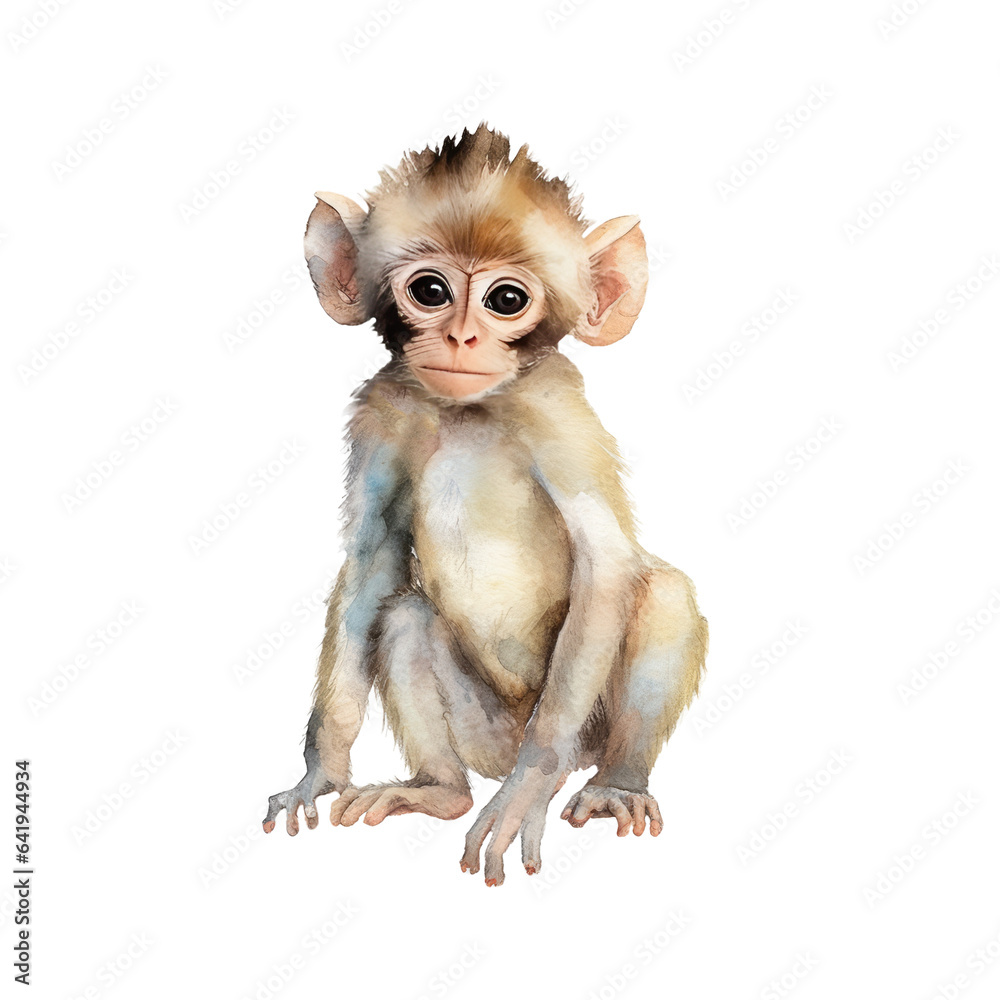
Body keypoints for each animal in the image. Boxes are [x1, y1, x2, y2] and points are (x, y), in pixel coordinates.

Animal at [262, 124, 708, 886]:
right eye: (430, 290)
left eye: (505, 299)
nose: (461, 338)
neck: (471, 409)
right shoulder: (385, 411)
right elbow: (373, 564)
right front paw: (321, 771)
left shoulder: (557, 410)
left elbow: (607, 566)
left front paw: (528, 789)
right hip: (484, 731)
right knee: (405, 615)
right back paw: (439, 790)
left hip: (582, 726)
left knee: (663, 592)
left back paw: (614, 783)